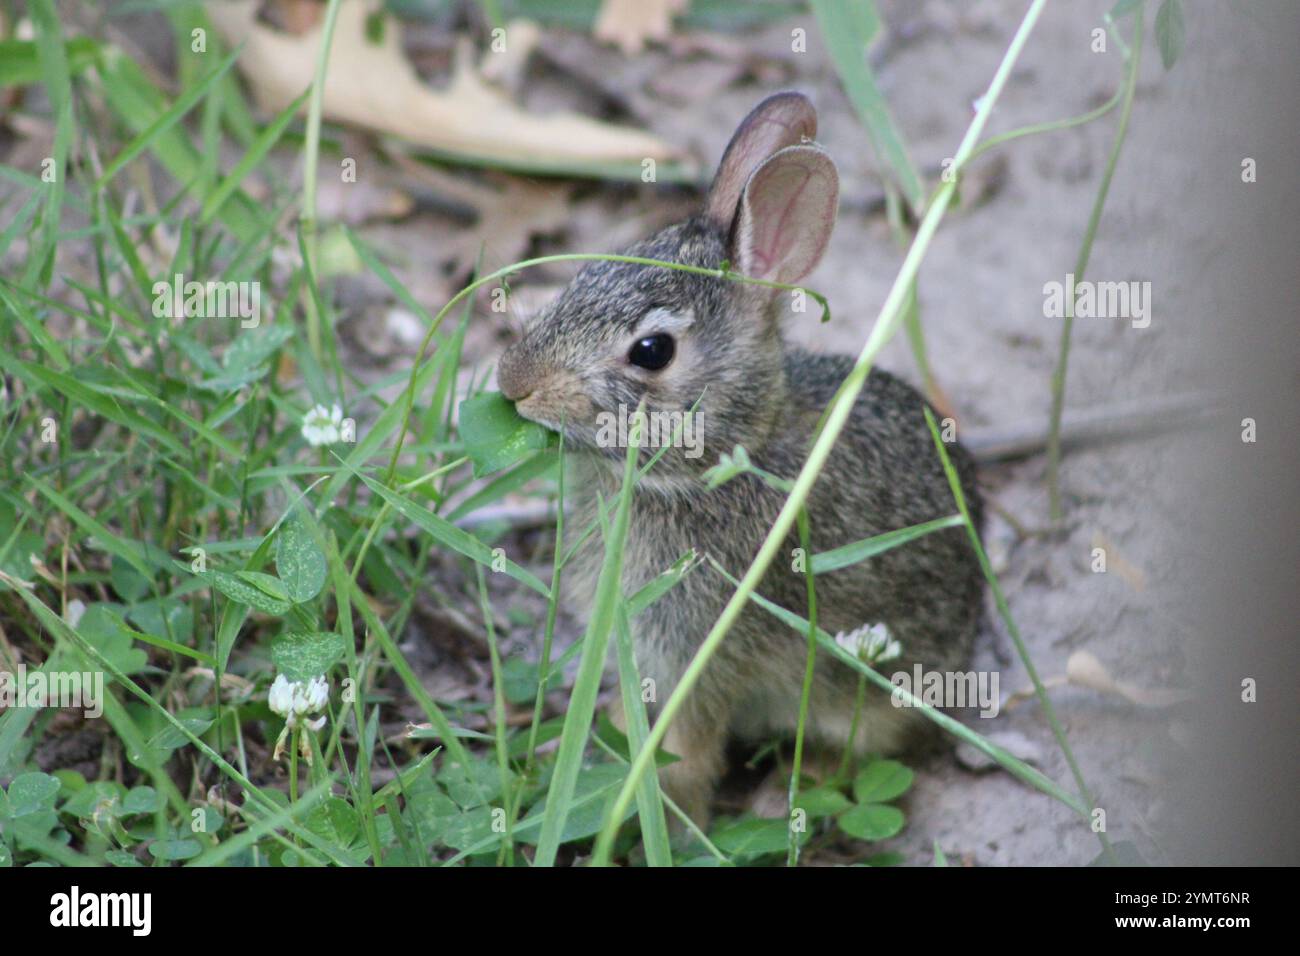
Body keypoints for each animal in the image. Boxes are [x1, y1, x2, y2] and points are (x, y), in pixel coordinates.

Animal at [496, 92, 985, 824]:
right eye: (585, 273)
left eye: (651, 352)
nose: (514, 382)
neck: (717, 462)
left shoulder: (705, 653)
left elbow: (689, 747)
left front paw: (667, 810)